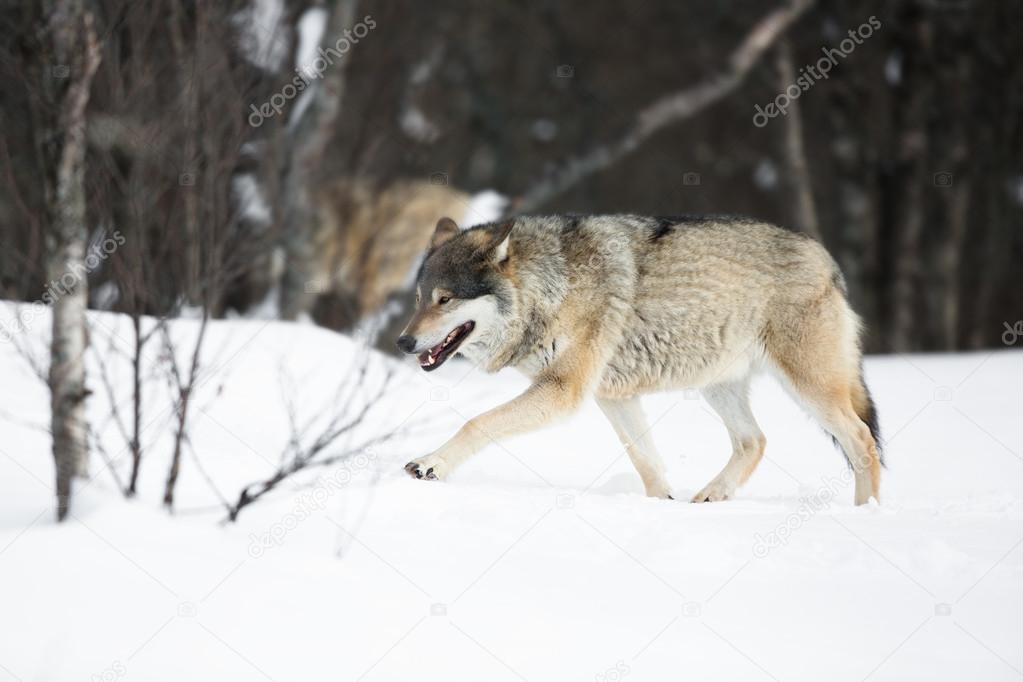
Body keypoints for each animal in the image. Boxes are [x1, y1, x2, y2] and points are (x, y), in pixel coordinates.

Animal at [396, 214, 882, 505]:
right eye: (419, 299)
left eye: (445, 299)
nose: (403, 341)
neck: (551, 288)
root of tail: (826, 258)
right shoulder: (613, 395)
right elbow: (645, 460)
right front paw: (662, 505)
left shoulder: (563, 392)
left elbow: (477, 422)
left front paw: (430, 464)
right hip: (717, 385)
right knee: (755, 441)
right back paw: (710, 497)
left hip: (811, 388)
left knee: (862, 440)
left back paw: (868, 512)